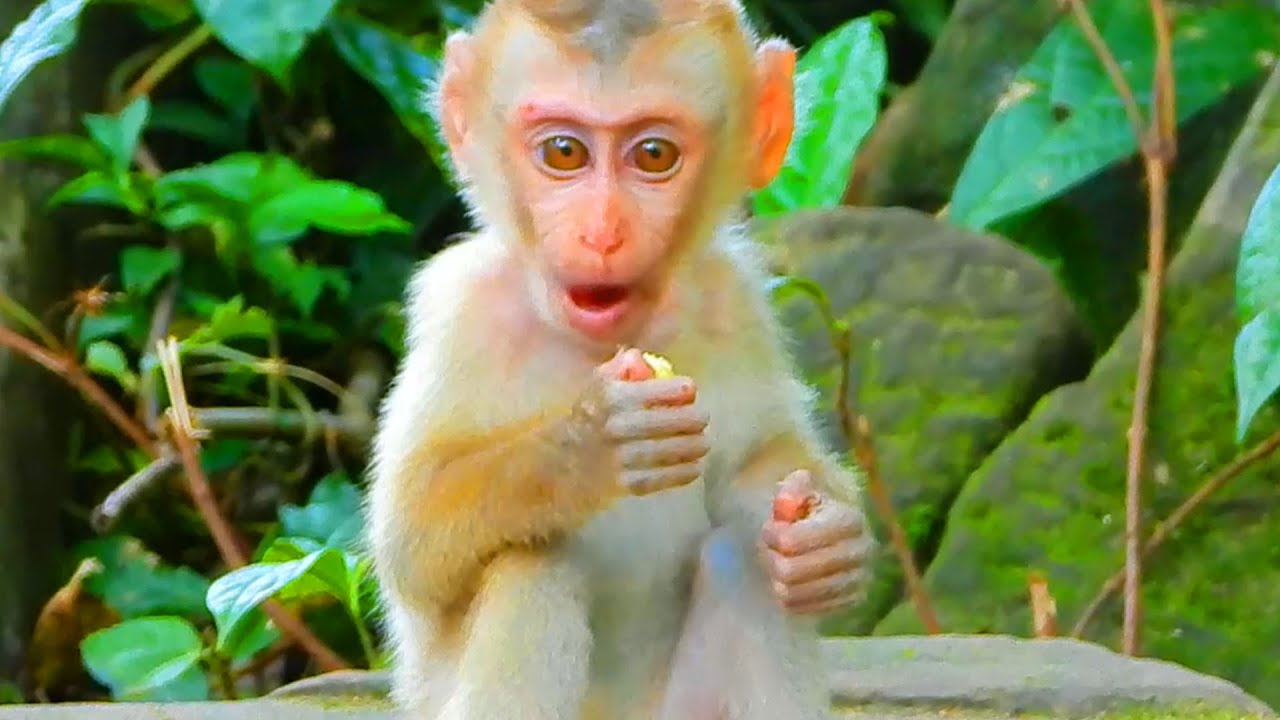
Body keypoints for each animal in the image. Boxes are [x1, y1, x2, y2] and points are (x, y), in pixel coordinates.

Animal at [364, 0, 875, 717]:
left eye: (654, 155)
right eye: (564, 152)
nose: (602, 233)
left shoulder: (737, 299)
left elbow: (764, 458)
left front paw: (830, 540)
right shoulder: (460, 310)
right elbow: (408, 540)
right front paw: (592, 443)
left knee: (747, 557)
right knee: (531, 570)